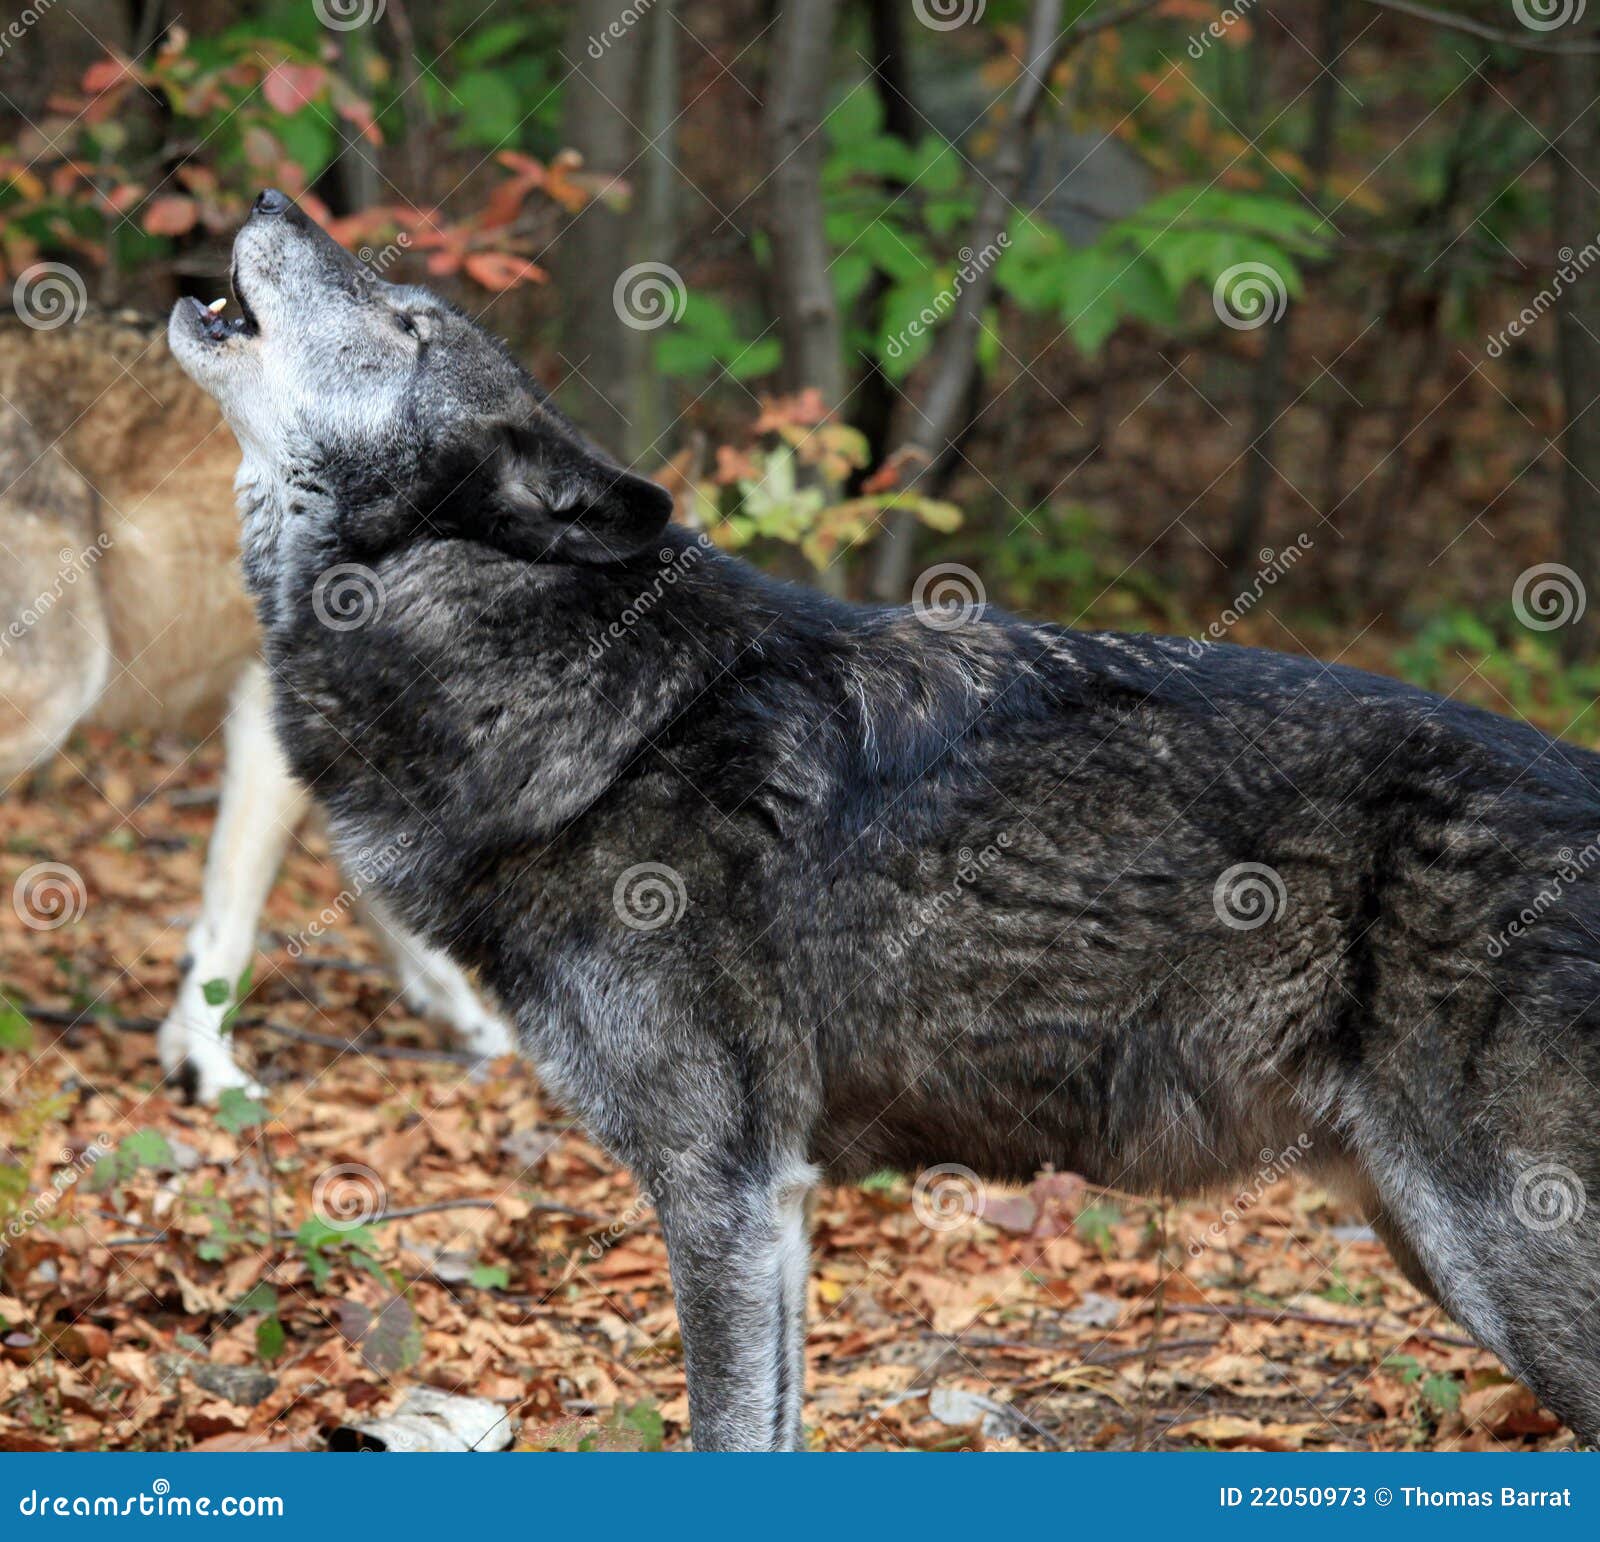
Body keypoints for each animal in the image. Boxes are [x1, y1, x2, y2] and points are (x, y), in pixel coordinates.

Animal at [171, 188, 1600, 1451]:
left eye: (409, 320)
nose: (269, 198)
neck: (567, 692)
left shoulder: (720, 1192)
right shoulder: (776, 1210)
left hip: (1501, 1255)